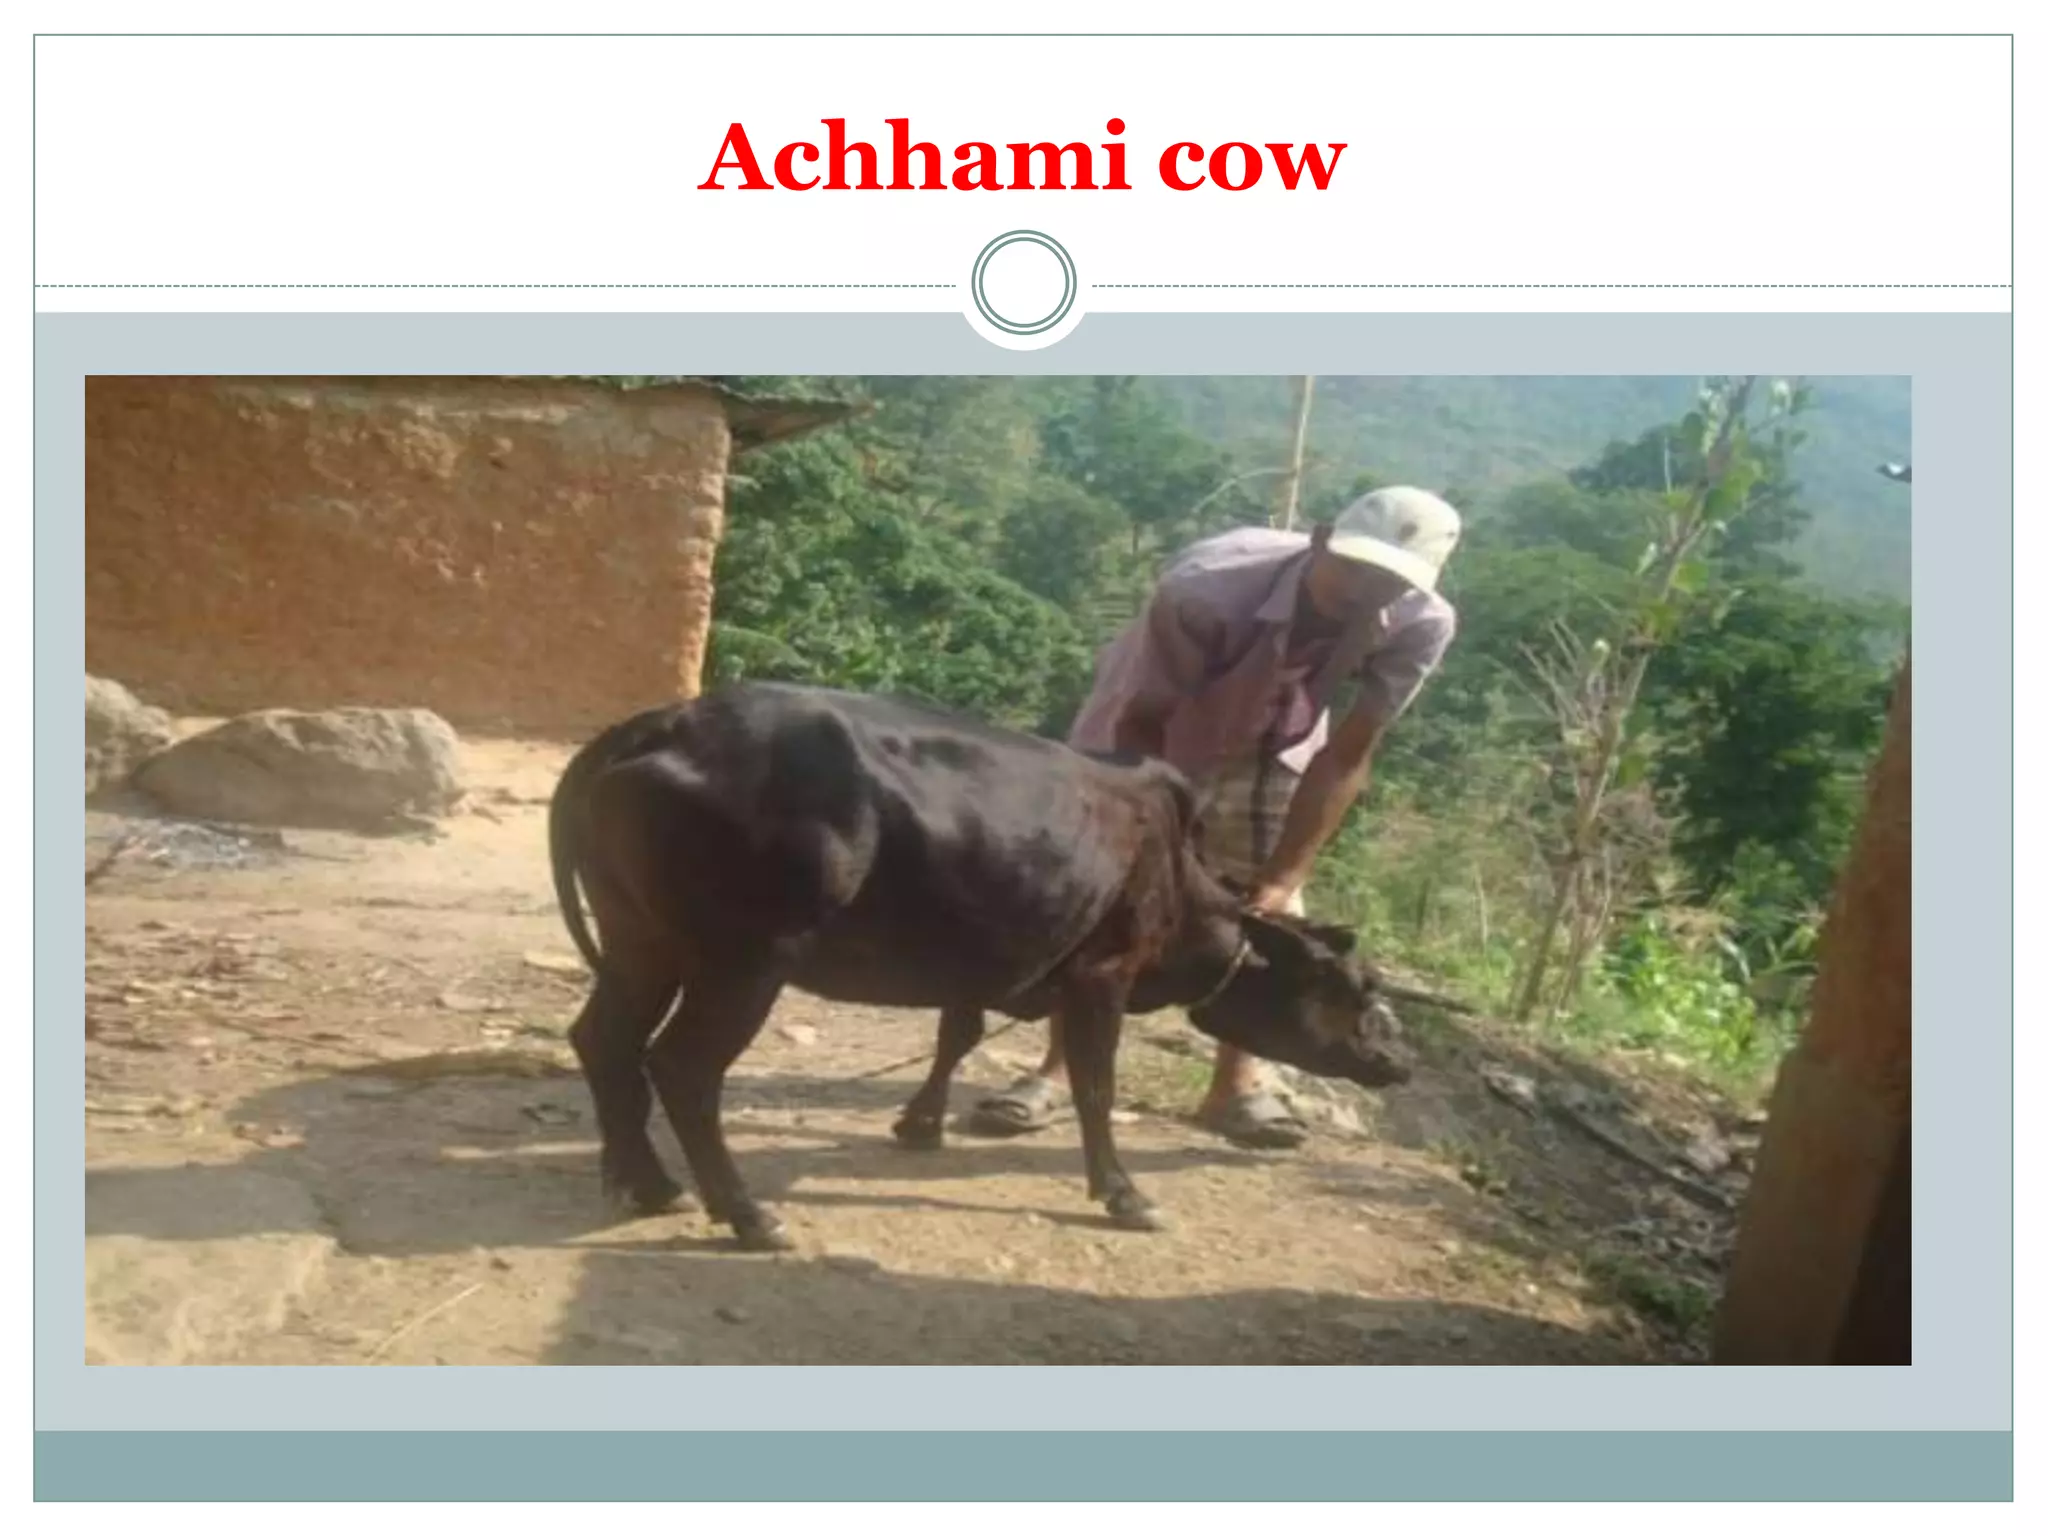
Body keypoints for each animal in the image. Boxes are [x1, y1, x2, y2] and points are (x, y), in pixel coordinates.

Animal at [547, 682, 1412, 1252]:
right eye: (1358, 988)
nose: (1398, 1059)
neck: (1174, 870)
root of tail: (663, 722)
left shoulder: (987, 958)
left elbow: (955, 1035)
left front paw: (920, 1123)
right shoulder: (1102, 974)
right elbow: (1095, 1088)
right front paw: (1124, 1195)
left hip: (640, 941)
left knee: (604, 1042)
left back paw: (648, 1183)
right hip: (746, 959)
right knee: (681, 1066)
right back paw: (749, 1216)